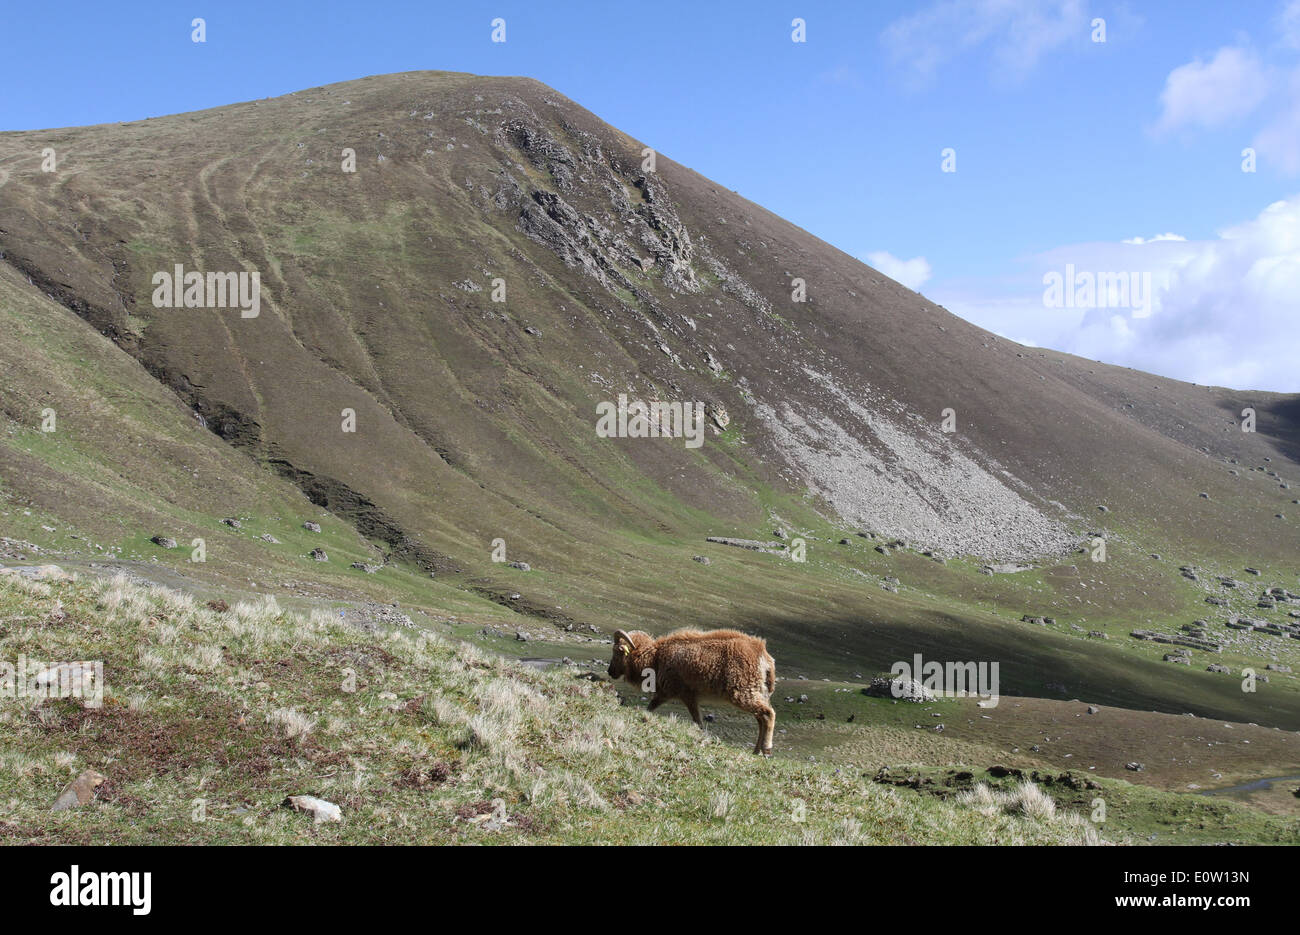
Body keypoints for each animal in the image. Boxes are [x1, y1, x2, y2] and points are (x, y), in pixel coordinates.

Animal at [607, 628, 776, 755]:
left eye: (616, 652)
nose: (610, 671)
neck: (655, 658)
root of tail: (764, 657)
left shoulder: (679, 693)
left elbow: (694, 719)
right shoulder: (680, 696)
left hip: (743, 692)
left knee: (768, 714)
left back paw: (767, 748)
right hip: (758, 692)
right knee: (761, 719)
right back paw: (757, 751)